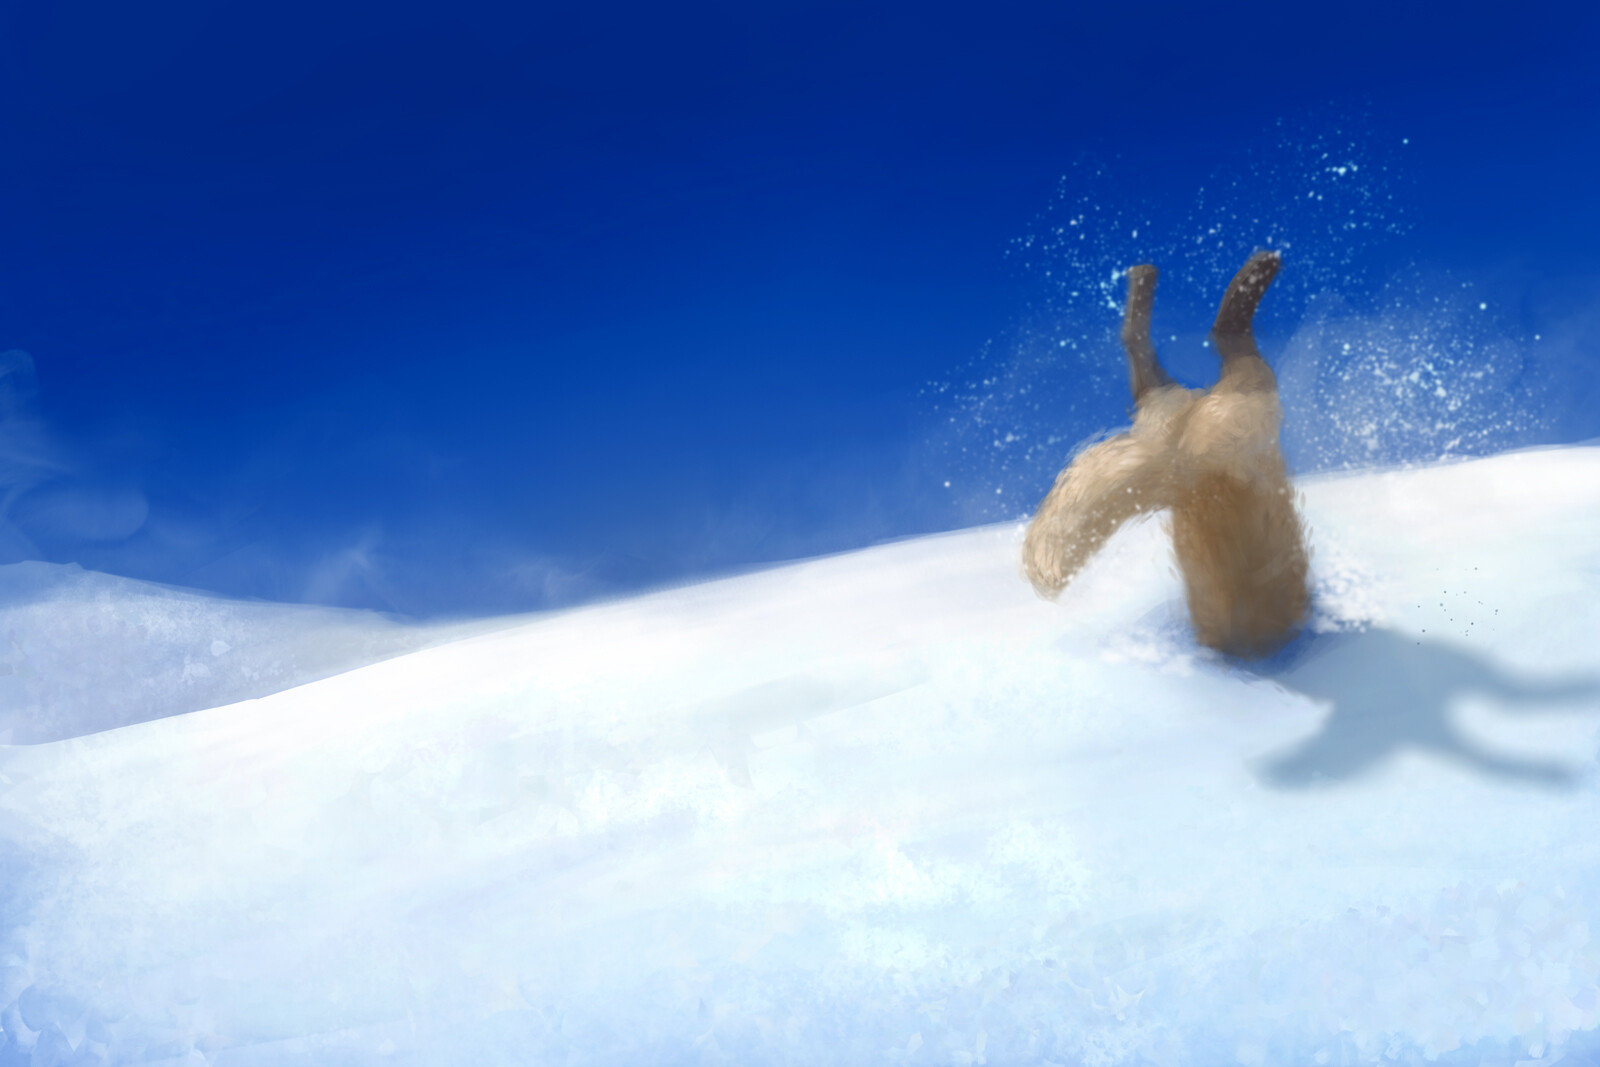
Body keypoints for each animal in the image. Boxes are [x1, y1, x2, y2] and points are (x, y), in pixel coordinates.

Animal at [1022, 250, 1311, 657]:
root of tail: (1180, 462)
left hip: (1169, 409)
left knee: (1149, 365)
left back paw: (1146, 287)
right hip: (1247, 401)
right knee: (1230, 340)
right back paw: (1255, 274)